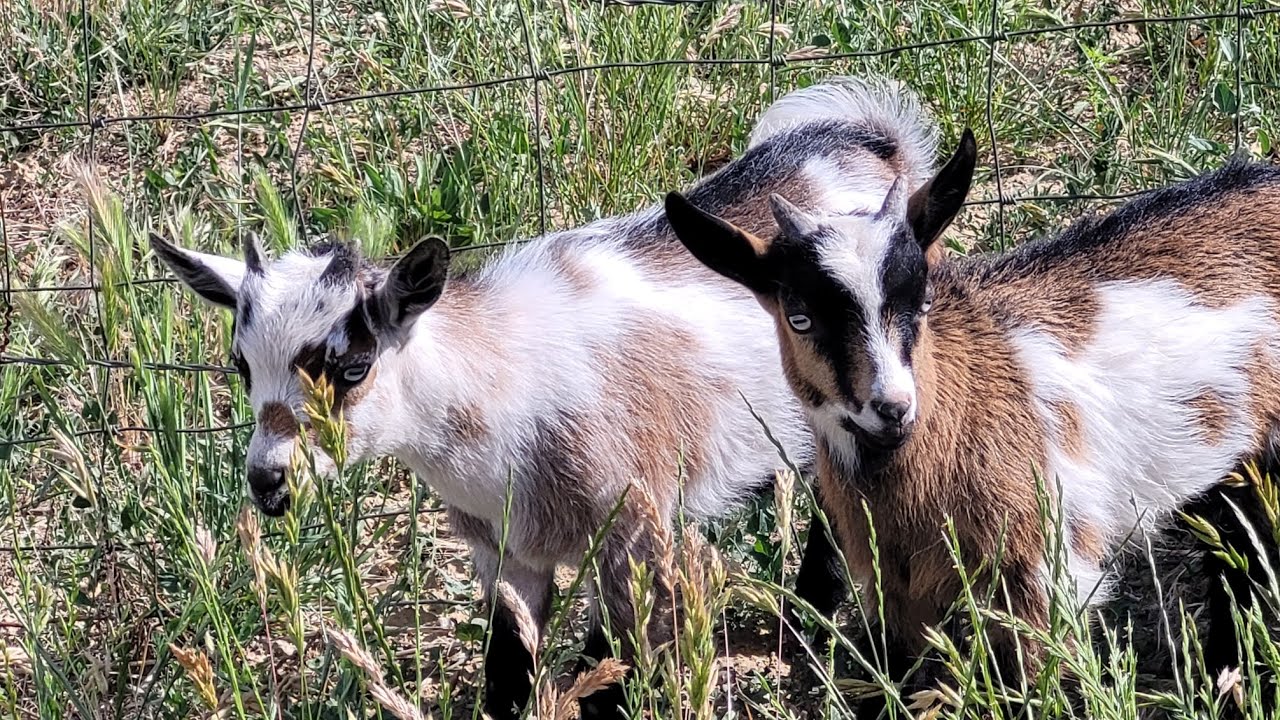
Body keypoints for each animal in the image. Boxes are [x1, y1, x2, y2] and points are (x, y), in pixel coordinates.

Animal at [145, 75, 935, 719]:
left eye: (354, 366)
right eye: (241, 366)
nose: (268, 481)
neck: (498, 389)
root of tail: (866, 138)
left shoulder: (632, 536)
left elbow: (605, 679)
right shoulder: (503, 550)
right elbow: (507, 670)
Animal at [666, 80, 1280, 708]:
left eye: (923, 303)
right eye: (800, 318)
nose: (892, 408)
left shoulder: (1049, 568)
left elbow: (1028, 686)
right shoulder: (898, 579)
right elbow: (896, 671)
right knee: (1240, 561)